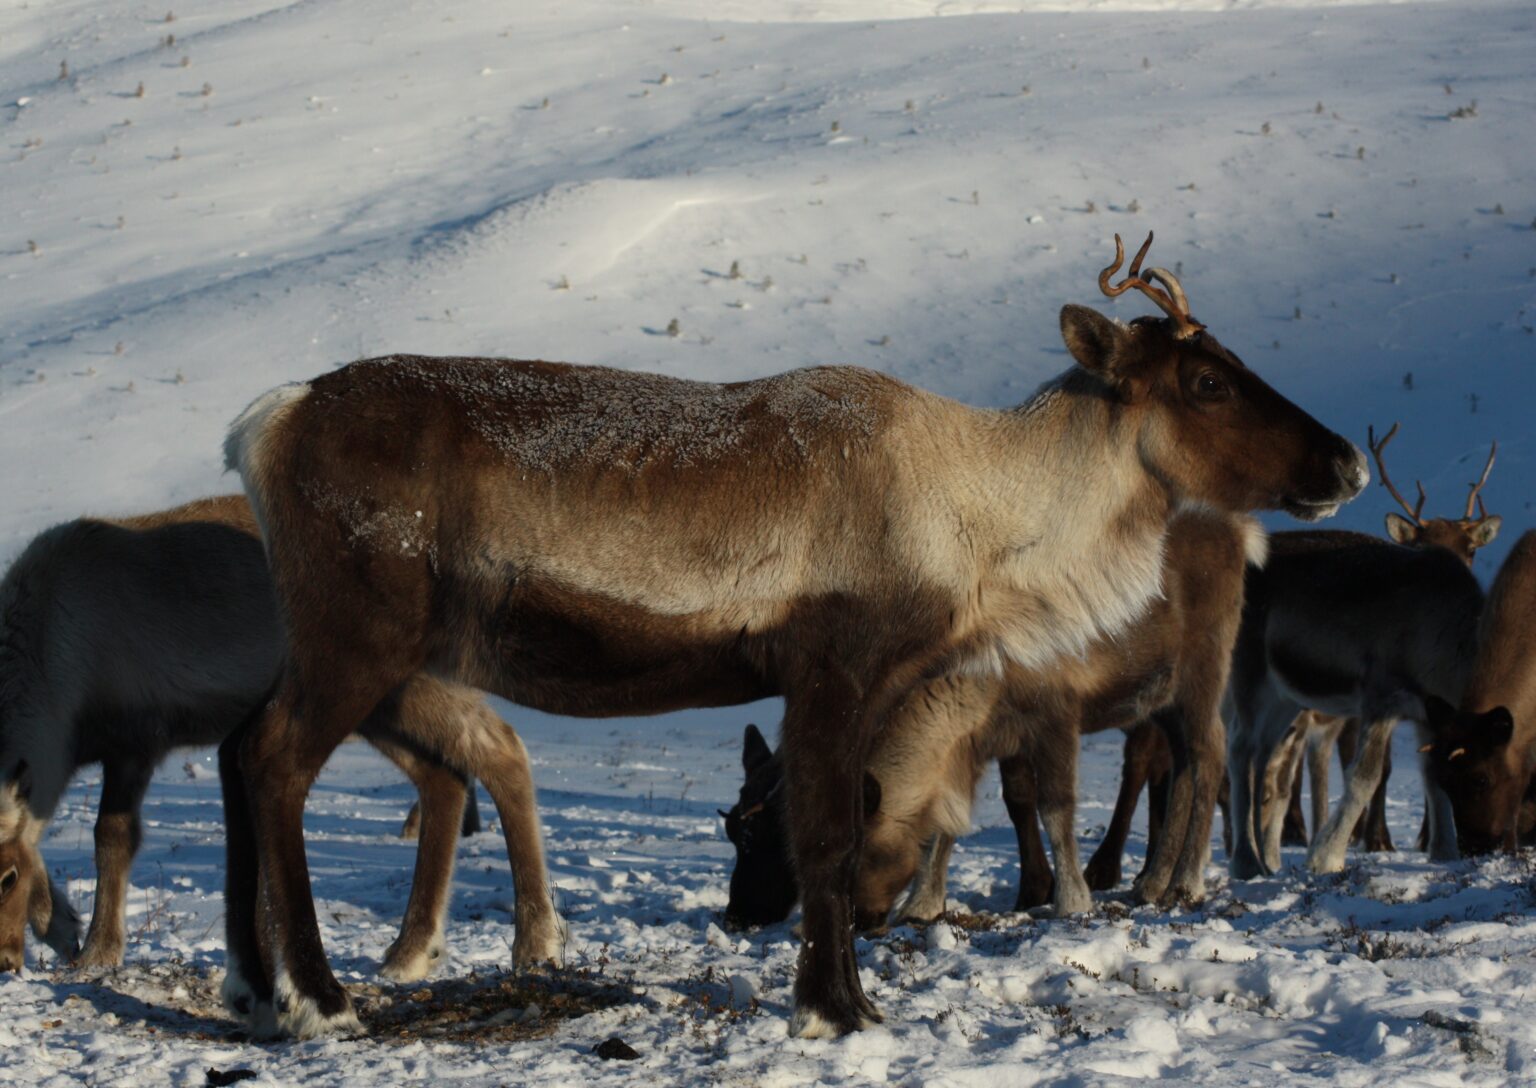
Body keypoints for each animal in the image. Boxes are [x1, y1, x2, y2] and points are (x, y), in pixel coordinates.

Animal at [0, 496, 560, 986]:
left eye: (5, 877)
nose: (6, 963)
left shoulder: (137, 741)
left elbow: (111, 839)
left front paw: (96, 951)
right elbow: (39, 837)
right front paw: (62, 926)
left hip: (412, 686)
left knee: (498, 748)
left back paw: (535, 943)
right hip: (375, 709)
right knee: (442, 776)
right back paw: (412, 950)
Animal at [723, 507, 1257, 930]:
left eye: (771, 840)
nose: (738, 915)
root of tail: (1237, 529)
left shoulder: (1056, 717)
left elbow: (1056, 809)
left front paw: (1071, 898)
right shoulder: (976, 741)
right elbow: (945, 823)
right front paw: (921, 904)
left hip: (1200, 675)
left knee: (1210, 757)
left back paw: (1186, 882)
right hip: (1161, 700)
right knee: (1183, 767)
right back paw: (1153, 881)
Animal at [1227, 423, 1500, 878]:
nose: (1488, 842)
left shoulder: (1427, 712)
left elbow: (1432, 775)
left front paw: (1444, 851)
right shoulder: (1381, 693)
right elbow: (1365, 776)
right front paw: (1325, 855)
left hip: (1286, 694)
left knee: (1265, 758)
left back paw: (1267, 859)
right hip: (1249, 671)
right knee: (1239, 751)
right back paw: (1245, 861)